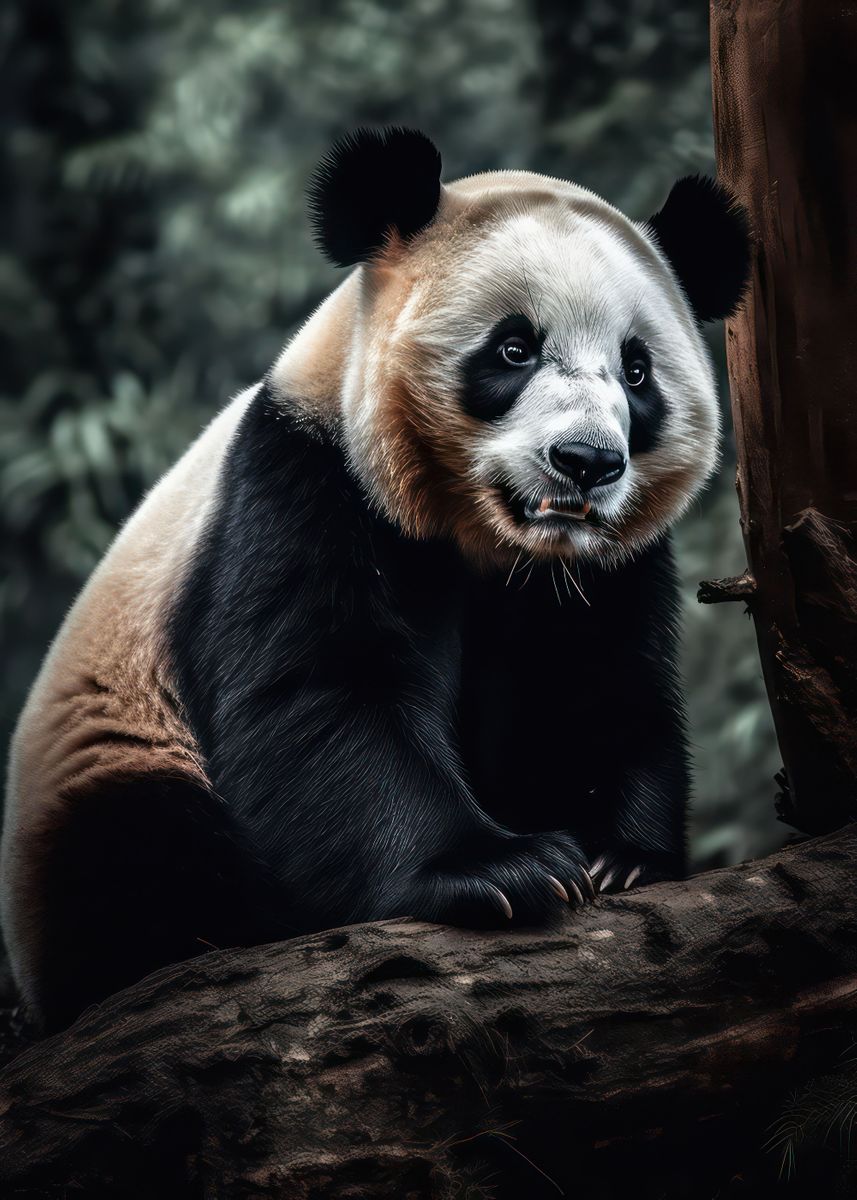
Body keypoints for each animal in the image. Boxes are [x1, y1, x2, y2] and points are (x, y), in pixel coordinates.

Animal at [1, 127, 750, 1030]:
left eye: (636, 372)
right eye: (513, 348)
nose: (585, 462)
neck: (492, 541)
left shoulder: (605, 568)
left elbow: (594, 687)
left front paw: (614, 853)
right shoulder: (308, 479)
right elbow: (324, 692)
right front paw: (501, 870)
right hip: (114, 758)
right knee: (144, 865)